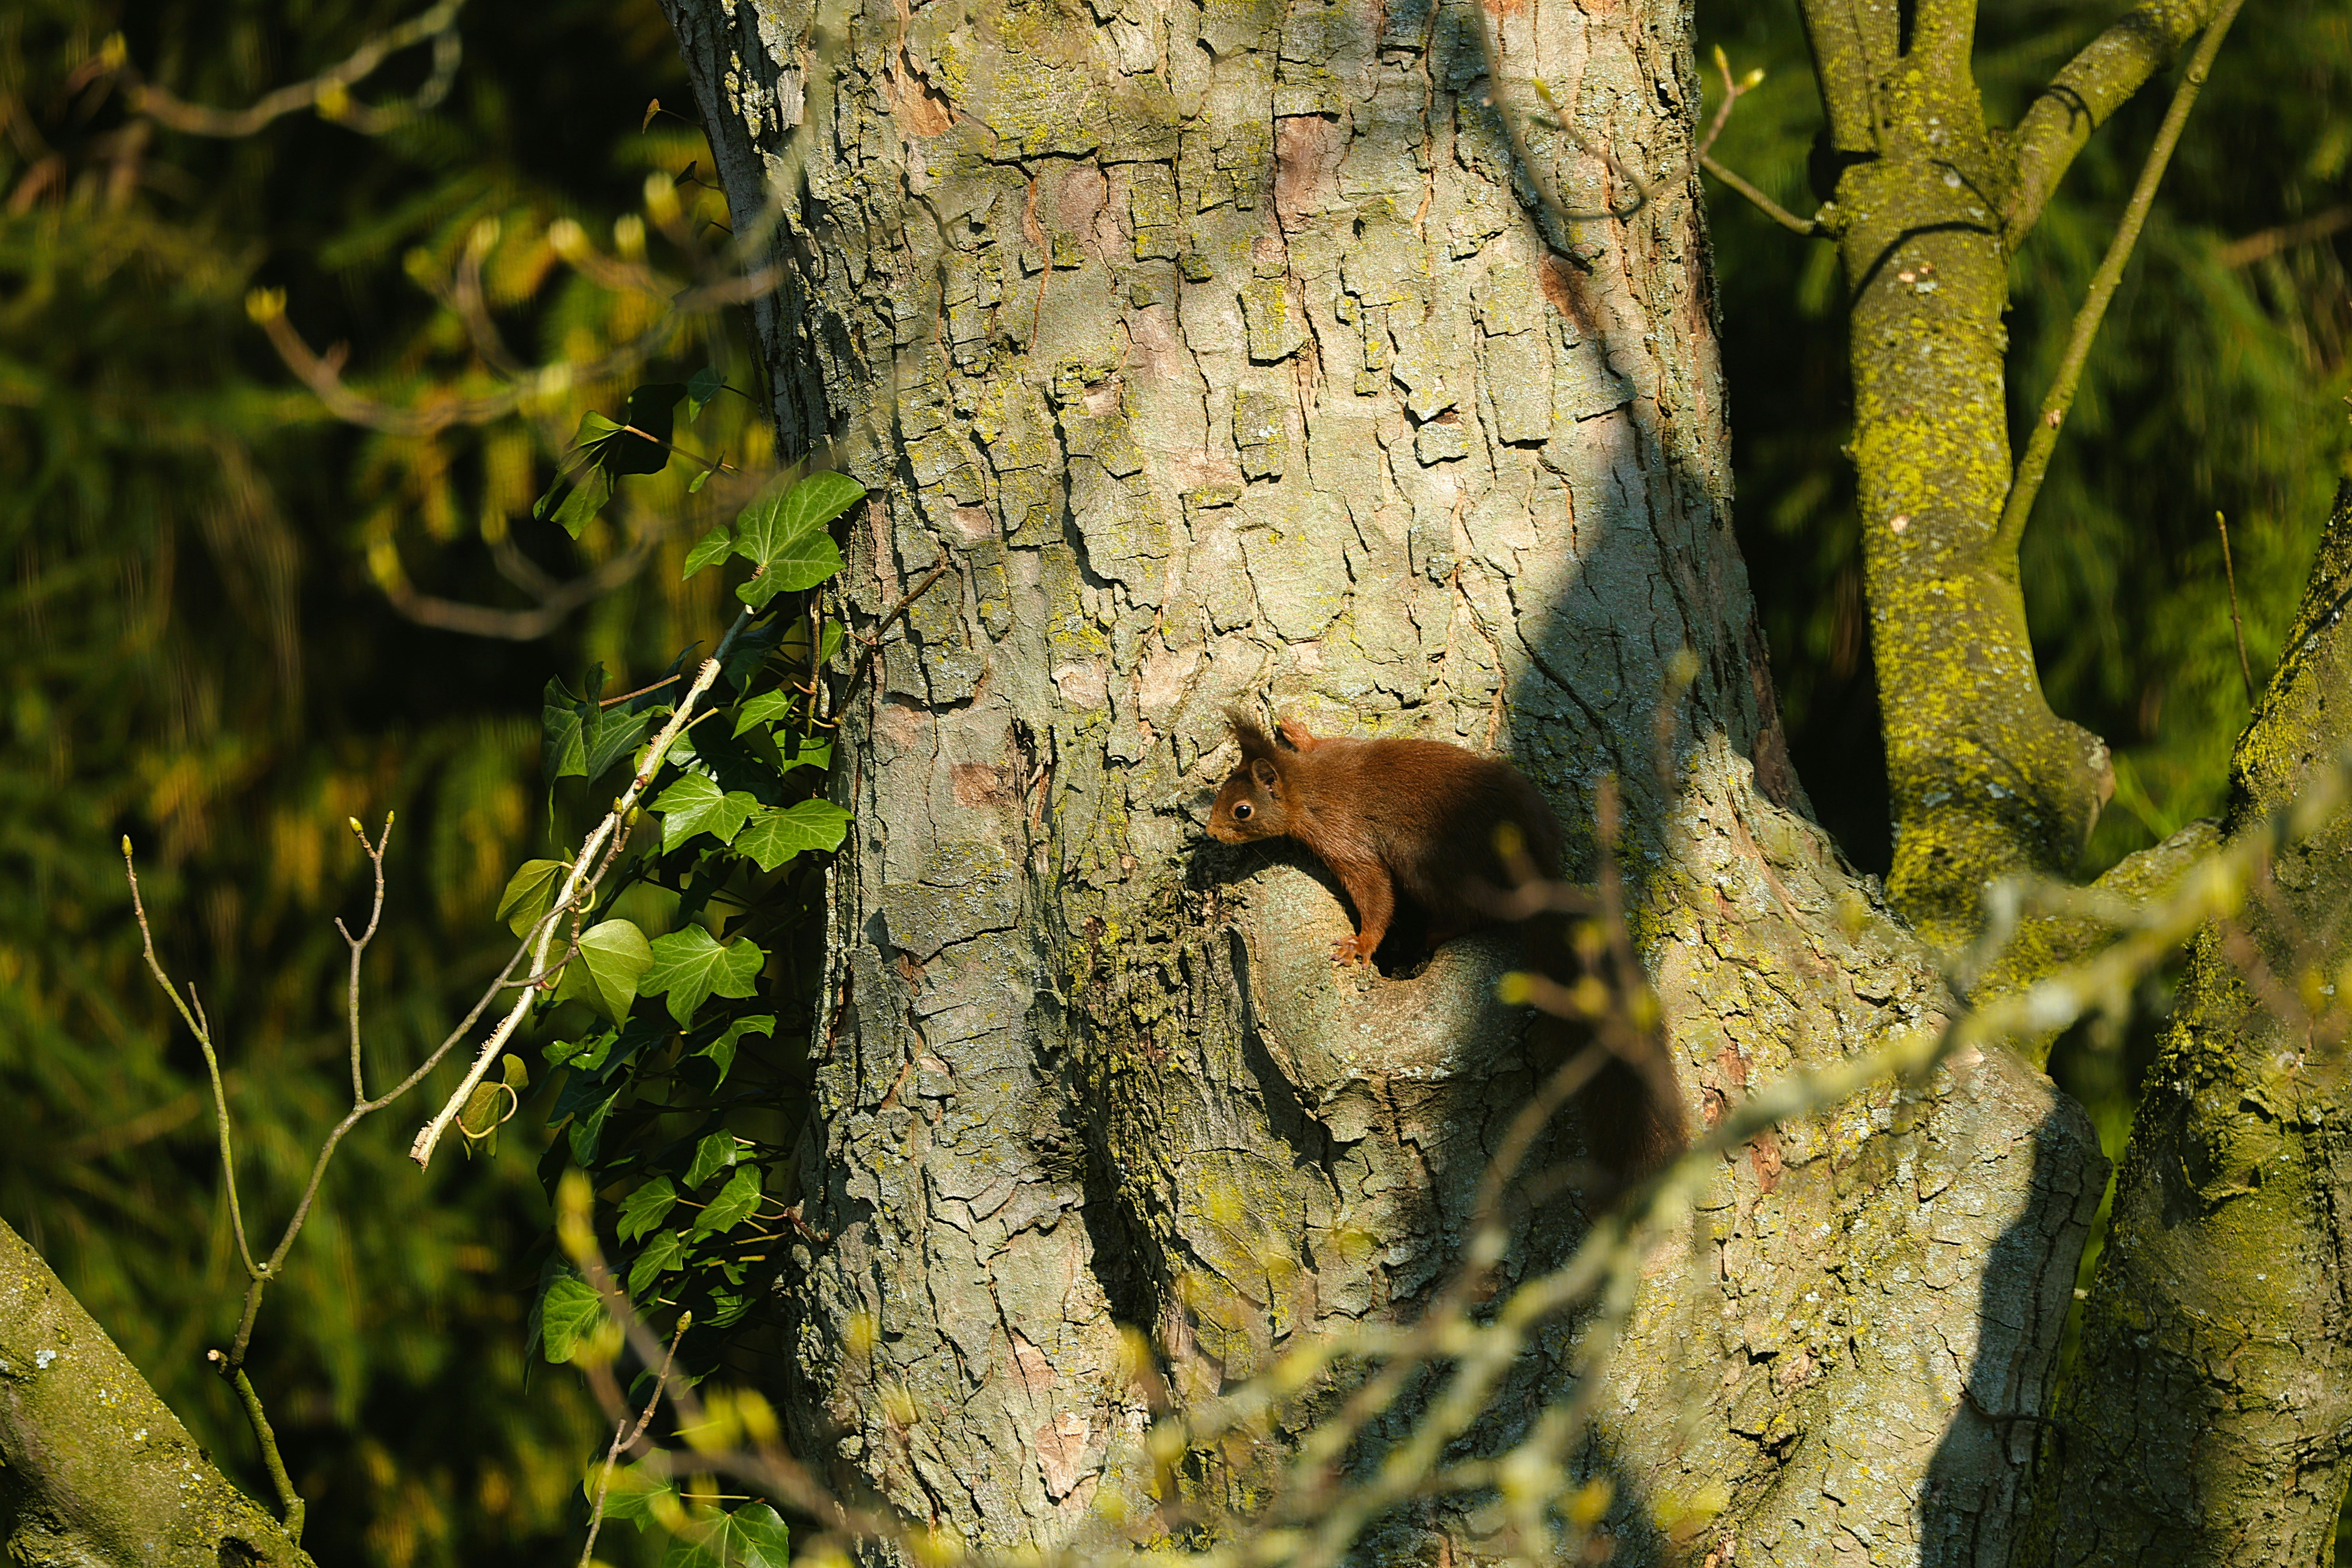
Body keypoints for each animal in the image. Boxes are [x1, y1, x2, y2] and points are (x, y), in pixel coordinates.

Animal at [1207, 711, 1685, 1176]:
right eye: (1222, 789)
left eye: (1243, 810)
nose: (1210, 833)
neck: (1303, 783)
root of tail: (1537, 872)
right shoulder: (1335, 752)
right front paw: (1294, 729)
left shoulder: (1341, 835)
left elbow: (1375, 891)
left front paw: (1361, 945)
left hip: (1428, 864)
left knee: (1479, 914)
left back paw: (1436, 932)